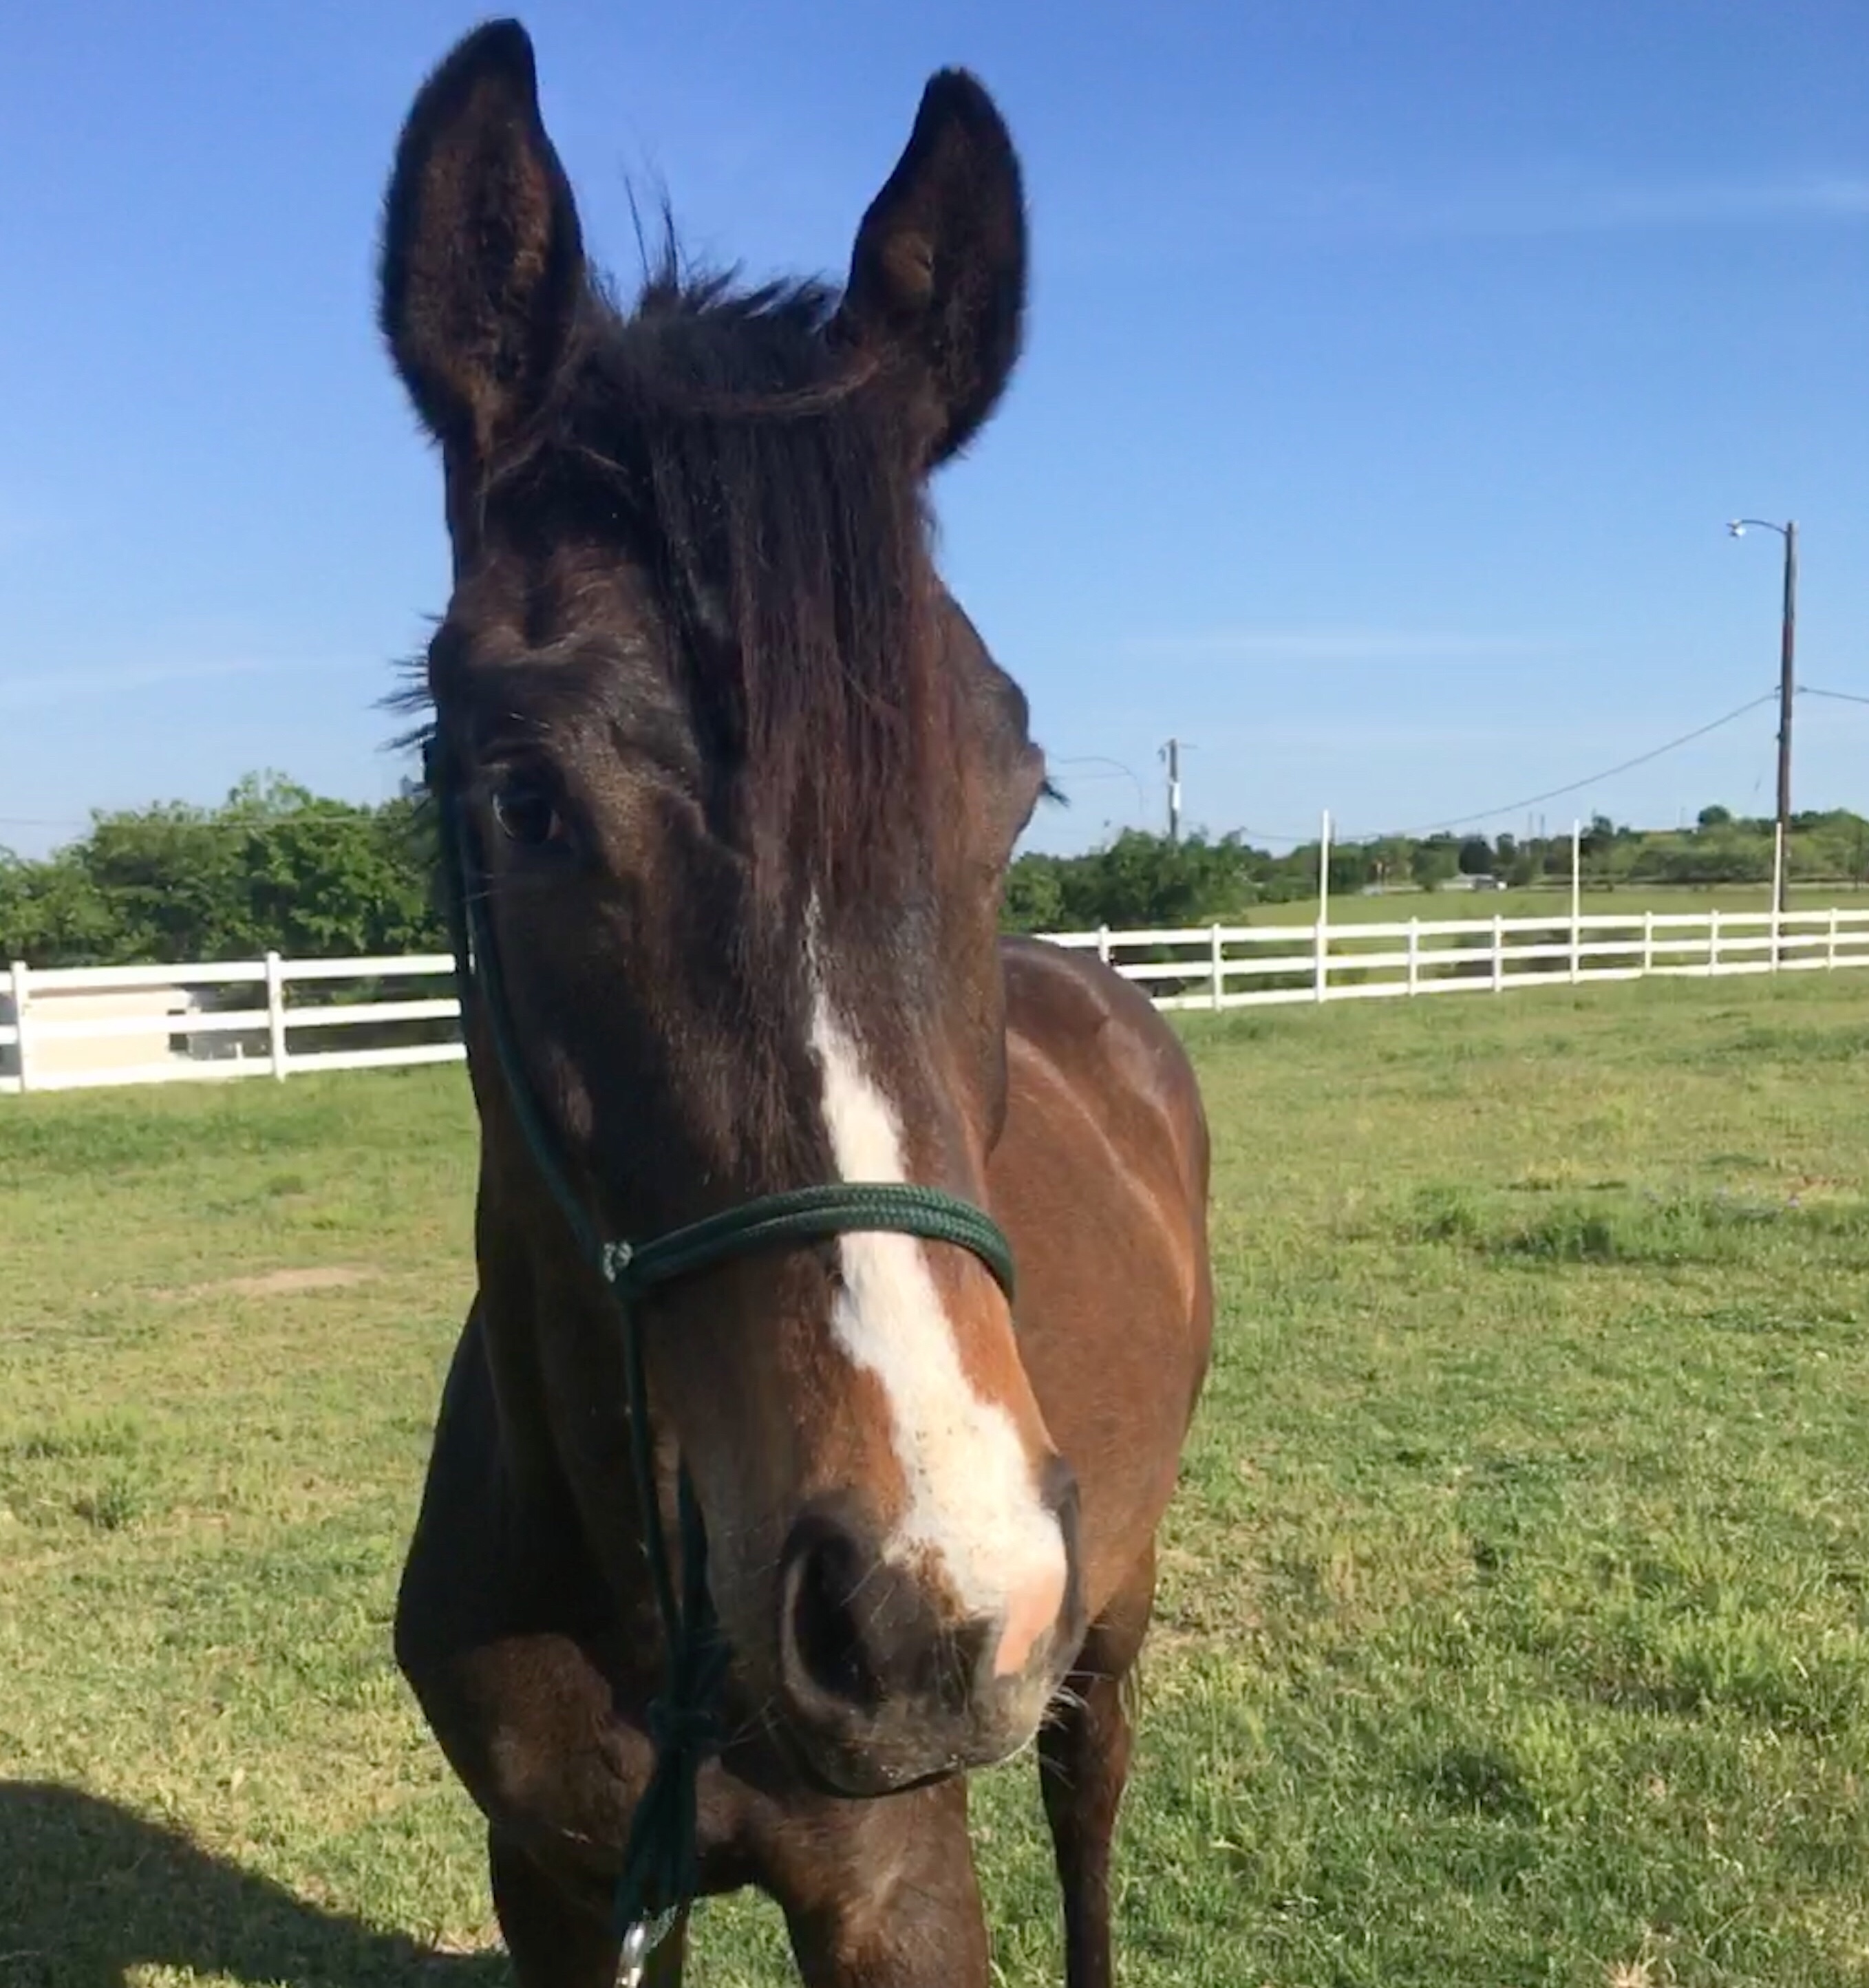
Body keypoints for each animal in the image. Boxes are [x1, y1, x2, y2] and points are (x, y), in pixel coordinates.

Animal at [379, 21, 1212, 1986]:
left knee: (1089, 1809)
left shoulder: (898, 1888)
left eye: (1014, 790)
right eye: (523, 801)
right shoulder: (562, 1876)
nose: (929, 1607)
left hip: (1114, 1618)